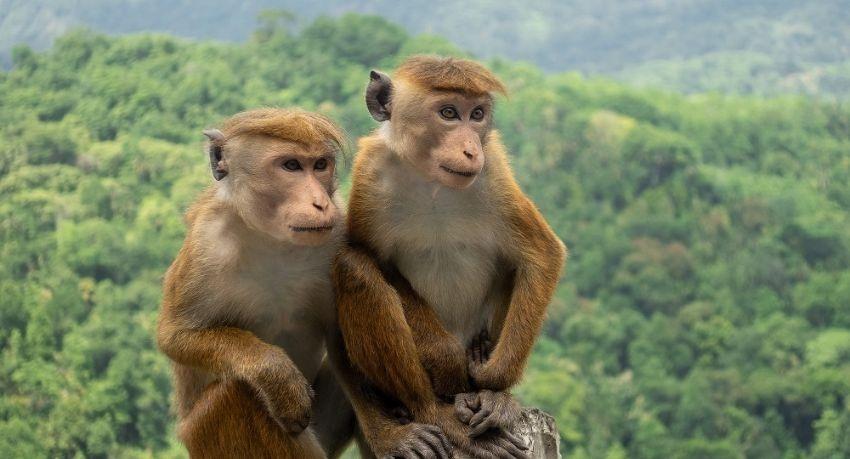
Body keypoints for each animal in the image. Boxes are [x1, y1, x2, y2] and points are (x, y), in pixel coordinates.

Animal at [156, 108, 357, 458]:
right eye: (291, 166)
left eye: (320, 165)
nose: (320, 203)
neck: (271, 240)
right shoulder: (206, 244)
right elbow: (176, 335)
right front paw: (275, 375)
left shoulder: (338, 231)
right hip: (202, 438)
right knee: (233, 393)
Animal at [332, 56, 567, 458]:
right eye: (447, 113)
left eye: (477, 114)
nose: (471, 149)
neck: (433, 183)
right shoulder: (370, 175)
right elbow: (377, 262)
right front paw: (447, 360)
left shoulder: (494, 172)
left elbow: (542, 254)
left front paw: (492, 380)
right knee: (353, 268)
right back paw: (431, 411)